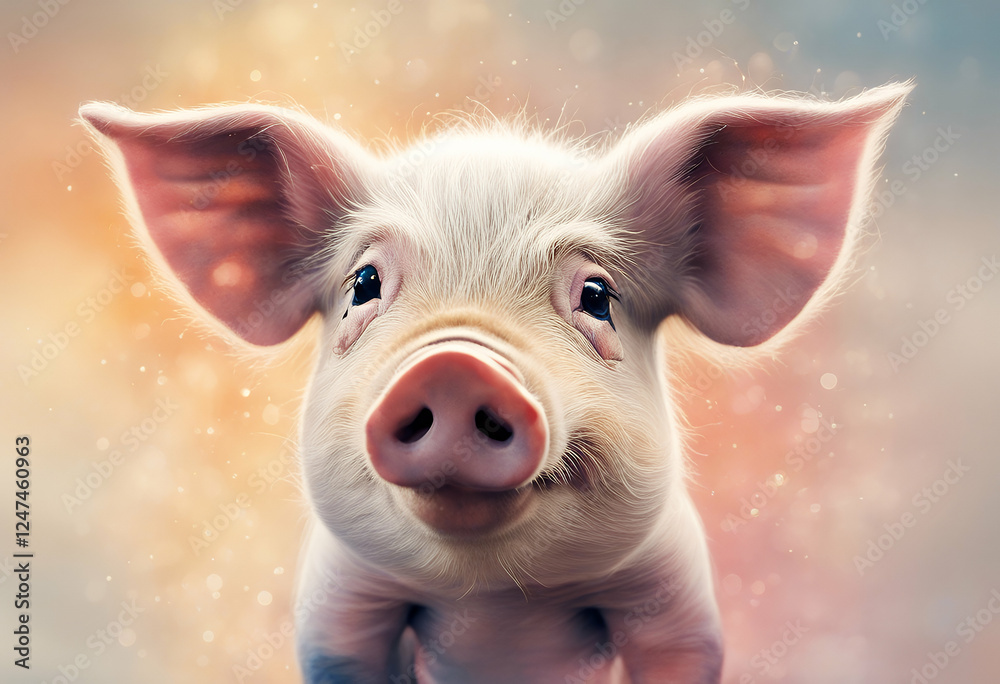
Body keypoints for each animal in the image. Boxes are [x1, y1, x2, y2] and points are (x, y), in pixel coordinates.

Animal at [80, 81, 910, 684]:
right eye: (363, 284)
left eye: (598, 296)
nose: (455, 364)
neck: (493, 605)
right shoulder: (338, 605)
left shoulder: (673, 595)